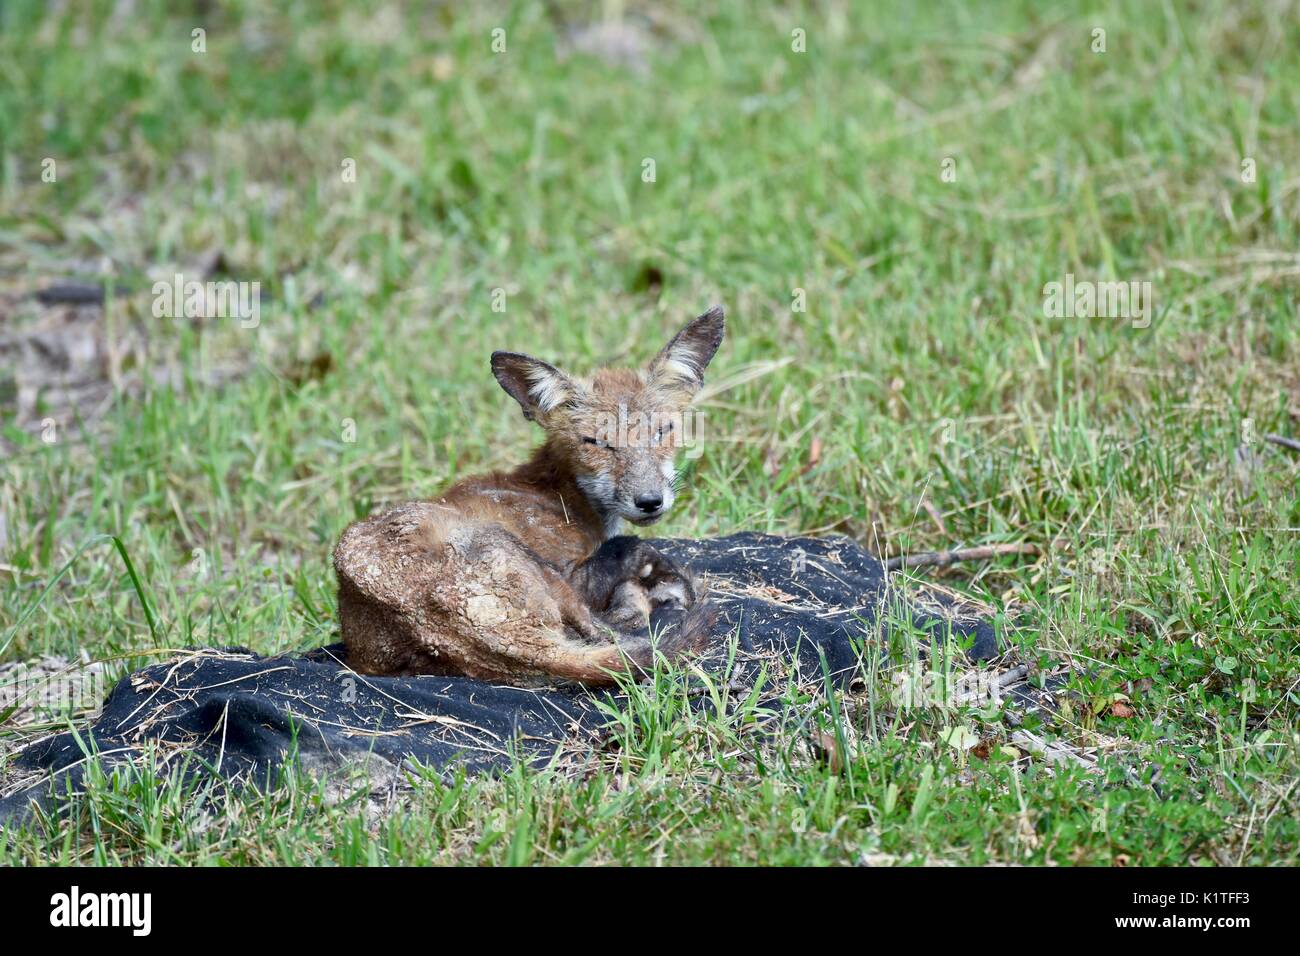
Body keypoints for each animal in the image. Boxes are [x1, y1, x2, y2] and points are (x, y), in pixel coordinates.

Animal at [334, 306, 725, 685]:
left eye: (663, 431)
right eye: (596, 443)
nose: (649, 501)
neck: (562, 494)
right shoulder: (573, 572)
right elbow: (636, 553)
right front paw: (667, 583)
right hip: (528, 563)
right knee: (610, 630)